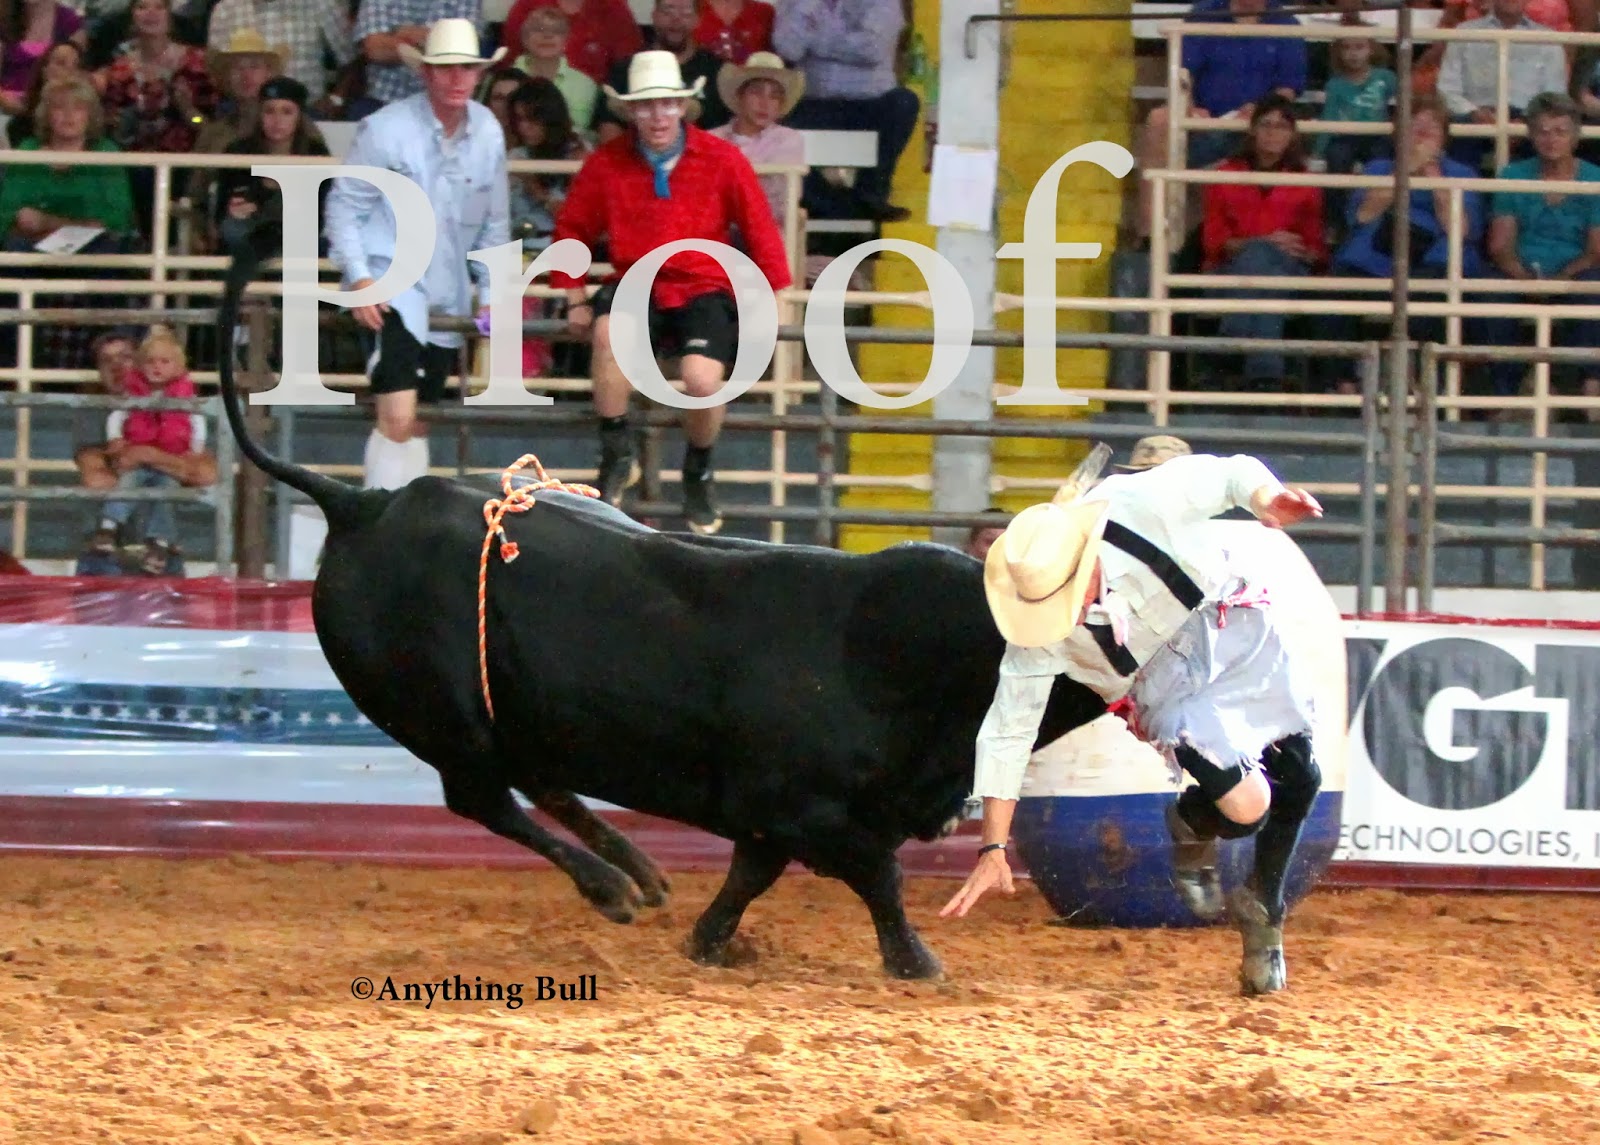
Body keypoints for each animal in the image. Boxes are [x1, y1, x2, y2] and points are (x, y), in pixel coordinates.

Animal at [215, 225, 1107, 980]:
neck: (906, 654)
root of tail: (362, 505)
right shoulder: (812, 810)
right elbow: (876, 877)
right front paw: (915, 959)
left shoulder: (773, 817)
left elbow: (749, 876)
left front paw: (708, 941)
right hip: (440, 718)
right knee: (483, 796)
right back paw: (608, 882)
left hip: (518, 719)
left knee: (538, 783)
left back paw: (638, 870)